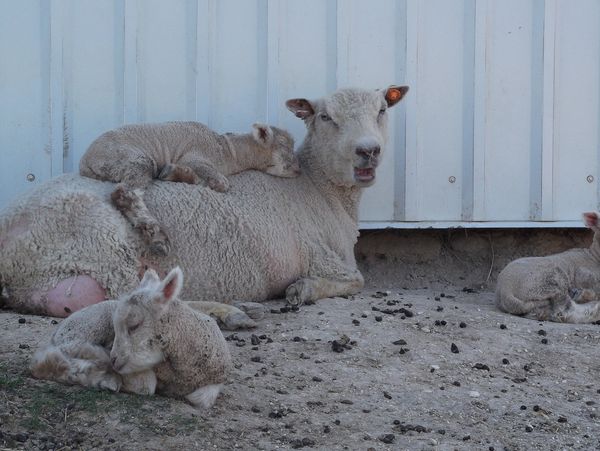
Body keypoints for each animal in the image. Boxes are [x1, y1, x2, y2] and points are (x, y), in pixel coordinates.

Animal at [30, 266, 233, 412]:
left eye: (134, 325)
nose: (113, 359)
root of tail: (58, 330)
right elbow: (146, 385)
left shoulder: (213, 383)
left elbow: (200, 399)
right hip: (85, 326)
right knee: (50, 358)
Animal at [79, 120, 300, 256]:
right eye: (283, 145)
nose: (299, 169)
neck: (230, 152)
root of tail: (86, 162)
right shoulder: (196, 157)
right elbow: (220, 183)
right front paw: (175, 173)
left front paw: (174, 173)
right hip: (128, 158)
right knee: (125, 193)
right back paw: (157, 237)